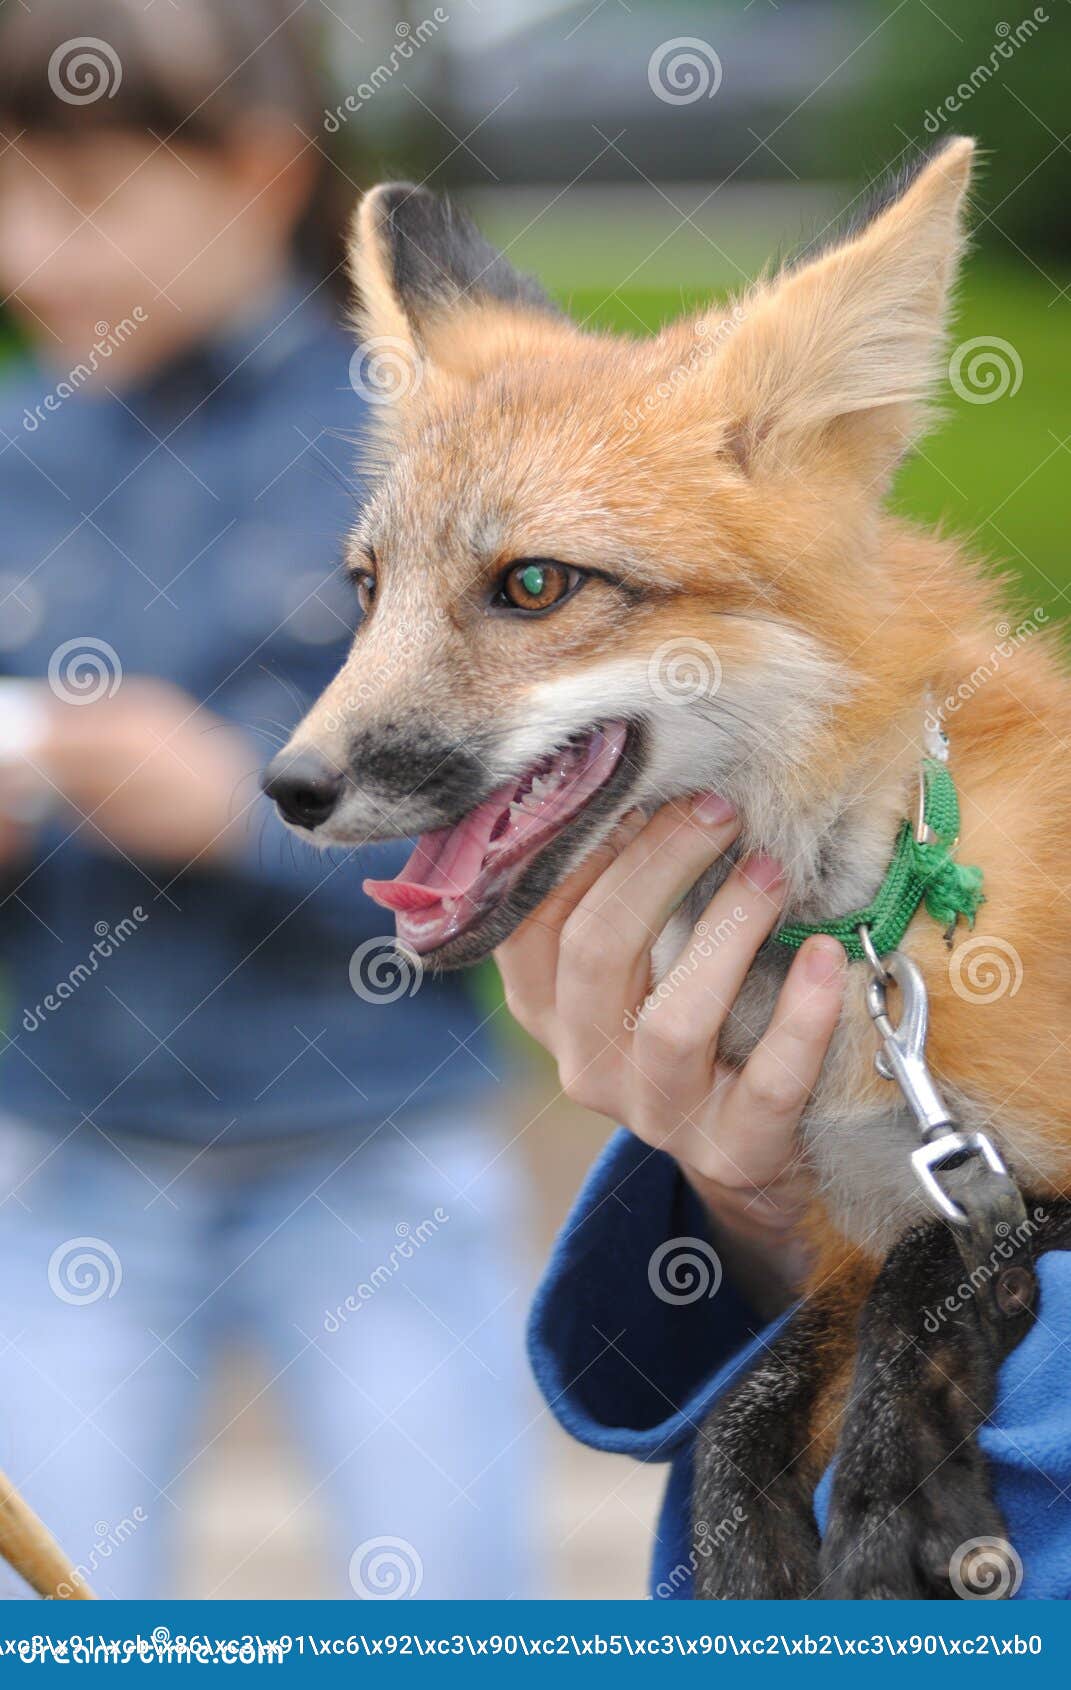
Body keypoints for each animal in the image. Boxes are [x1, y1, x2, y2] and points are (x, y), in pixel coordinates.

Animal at [263, 137, 1071, 1597]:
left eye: (533, 585)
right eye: (366, 590)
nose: (288, 787)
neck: (870, 920)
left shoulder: (983, 1183)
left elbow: (931, 1267)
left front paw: (888, 1496)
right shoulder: (841, 1222)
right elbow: (743, 1409)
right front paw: (767, 1551)